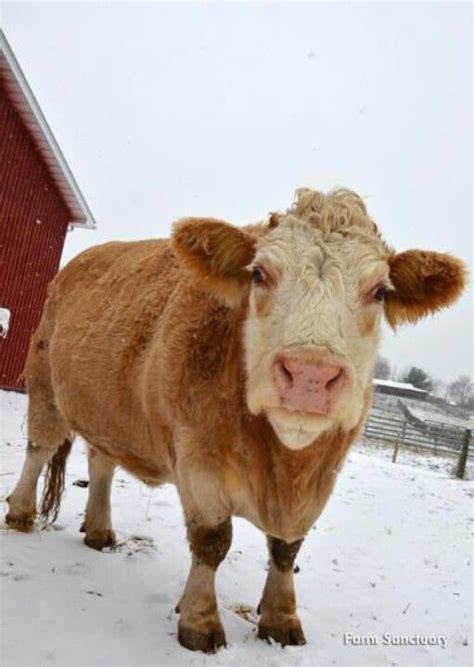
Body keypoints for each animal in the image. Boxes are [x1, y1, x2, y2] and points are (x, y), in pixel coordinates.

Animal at [5, 188, 466, 652]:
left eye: (380, 291)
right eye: (260, 274)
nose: (310, 374)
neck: (281, 470)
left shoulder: (321, 476)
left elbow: (287, 549)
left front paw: (281, 616)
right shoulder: (198, 459)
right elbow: (212, 542)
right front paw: (200, 620)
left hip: (111, 414)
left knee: (102, 463)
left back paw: (100, 531)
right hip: (45, 384)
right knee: (39, 449)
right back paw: (21, 513)